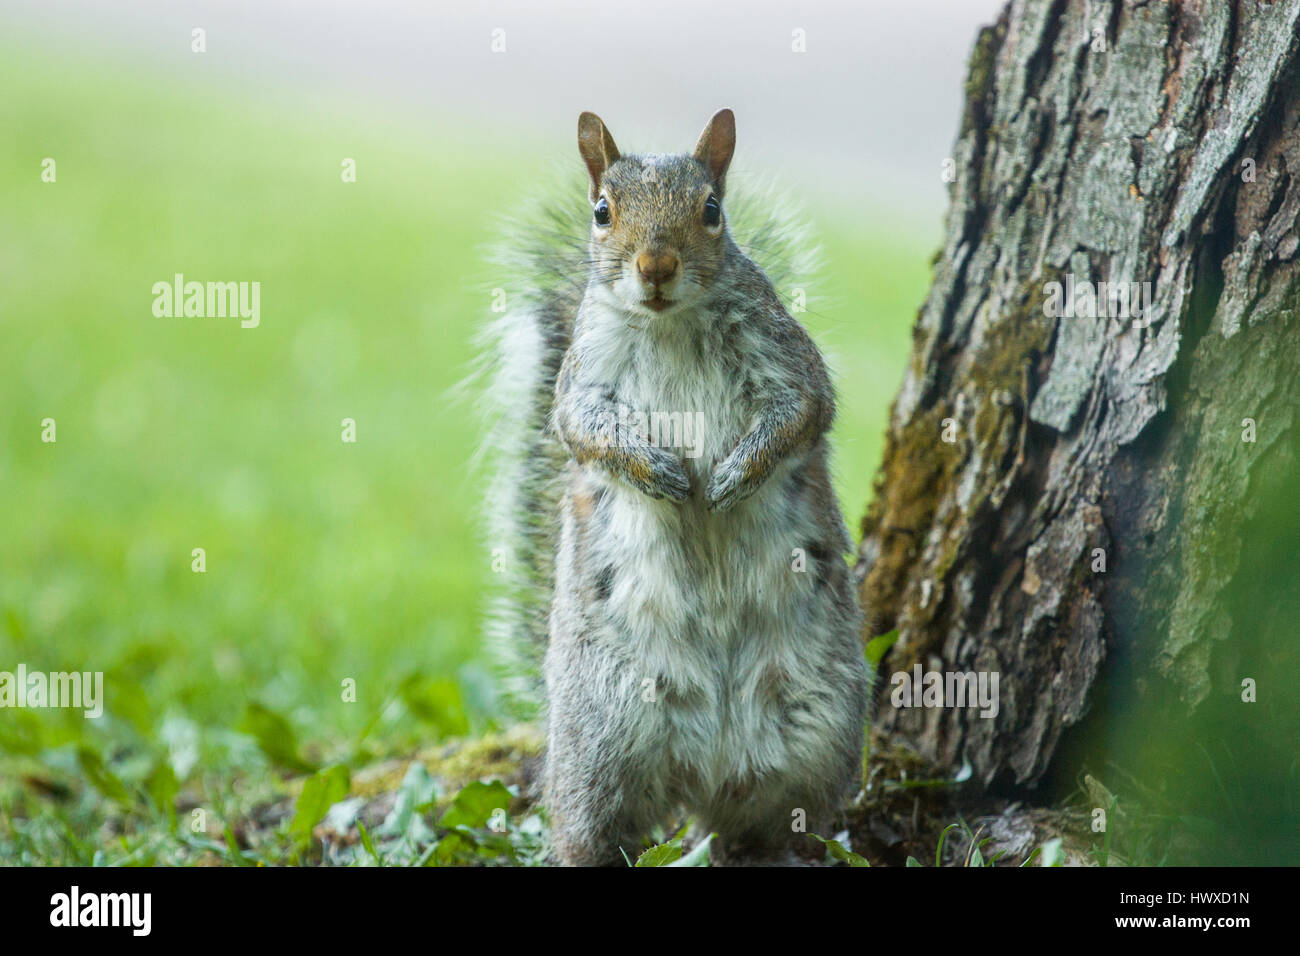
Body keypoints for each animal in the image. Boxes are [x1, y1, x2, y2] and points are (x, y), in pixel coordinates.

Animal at [481, 109, 871, 866]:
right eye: (602, 211)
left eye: (712, 210)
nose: (656, 267)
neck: (670, 322)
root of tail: (705, 773)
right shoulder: (583, 381)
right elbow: (583, 430)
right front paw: (658, 471)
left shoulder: (789, 362)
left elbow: (802, 413)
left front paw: (733, 477)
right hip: (598, 741)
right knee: (588, 830)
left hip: (815, 732)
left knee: (769, 829)